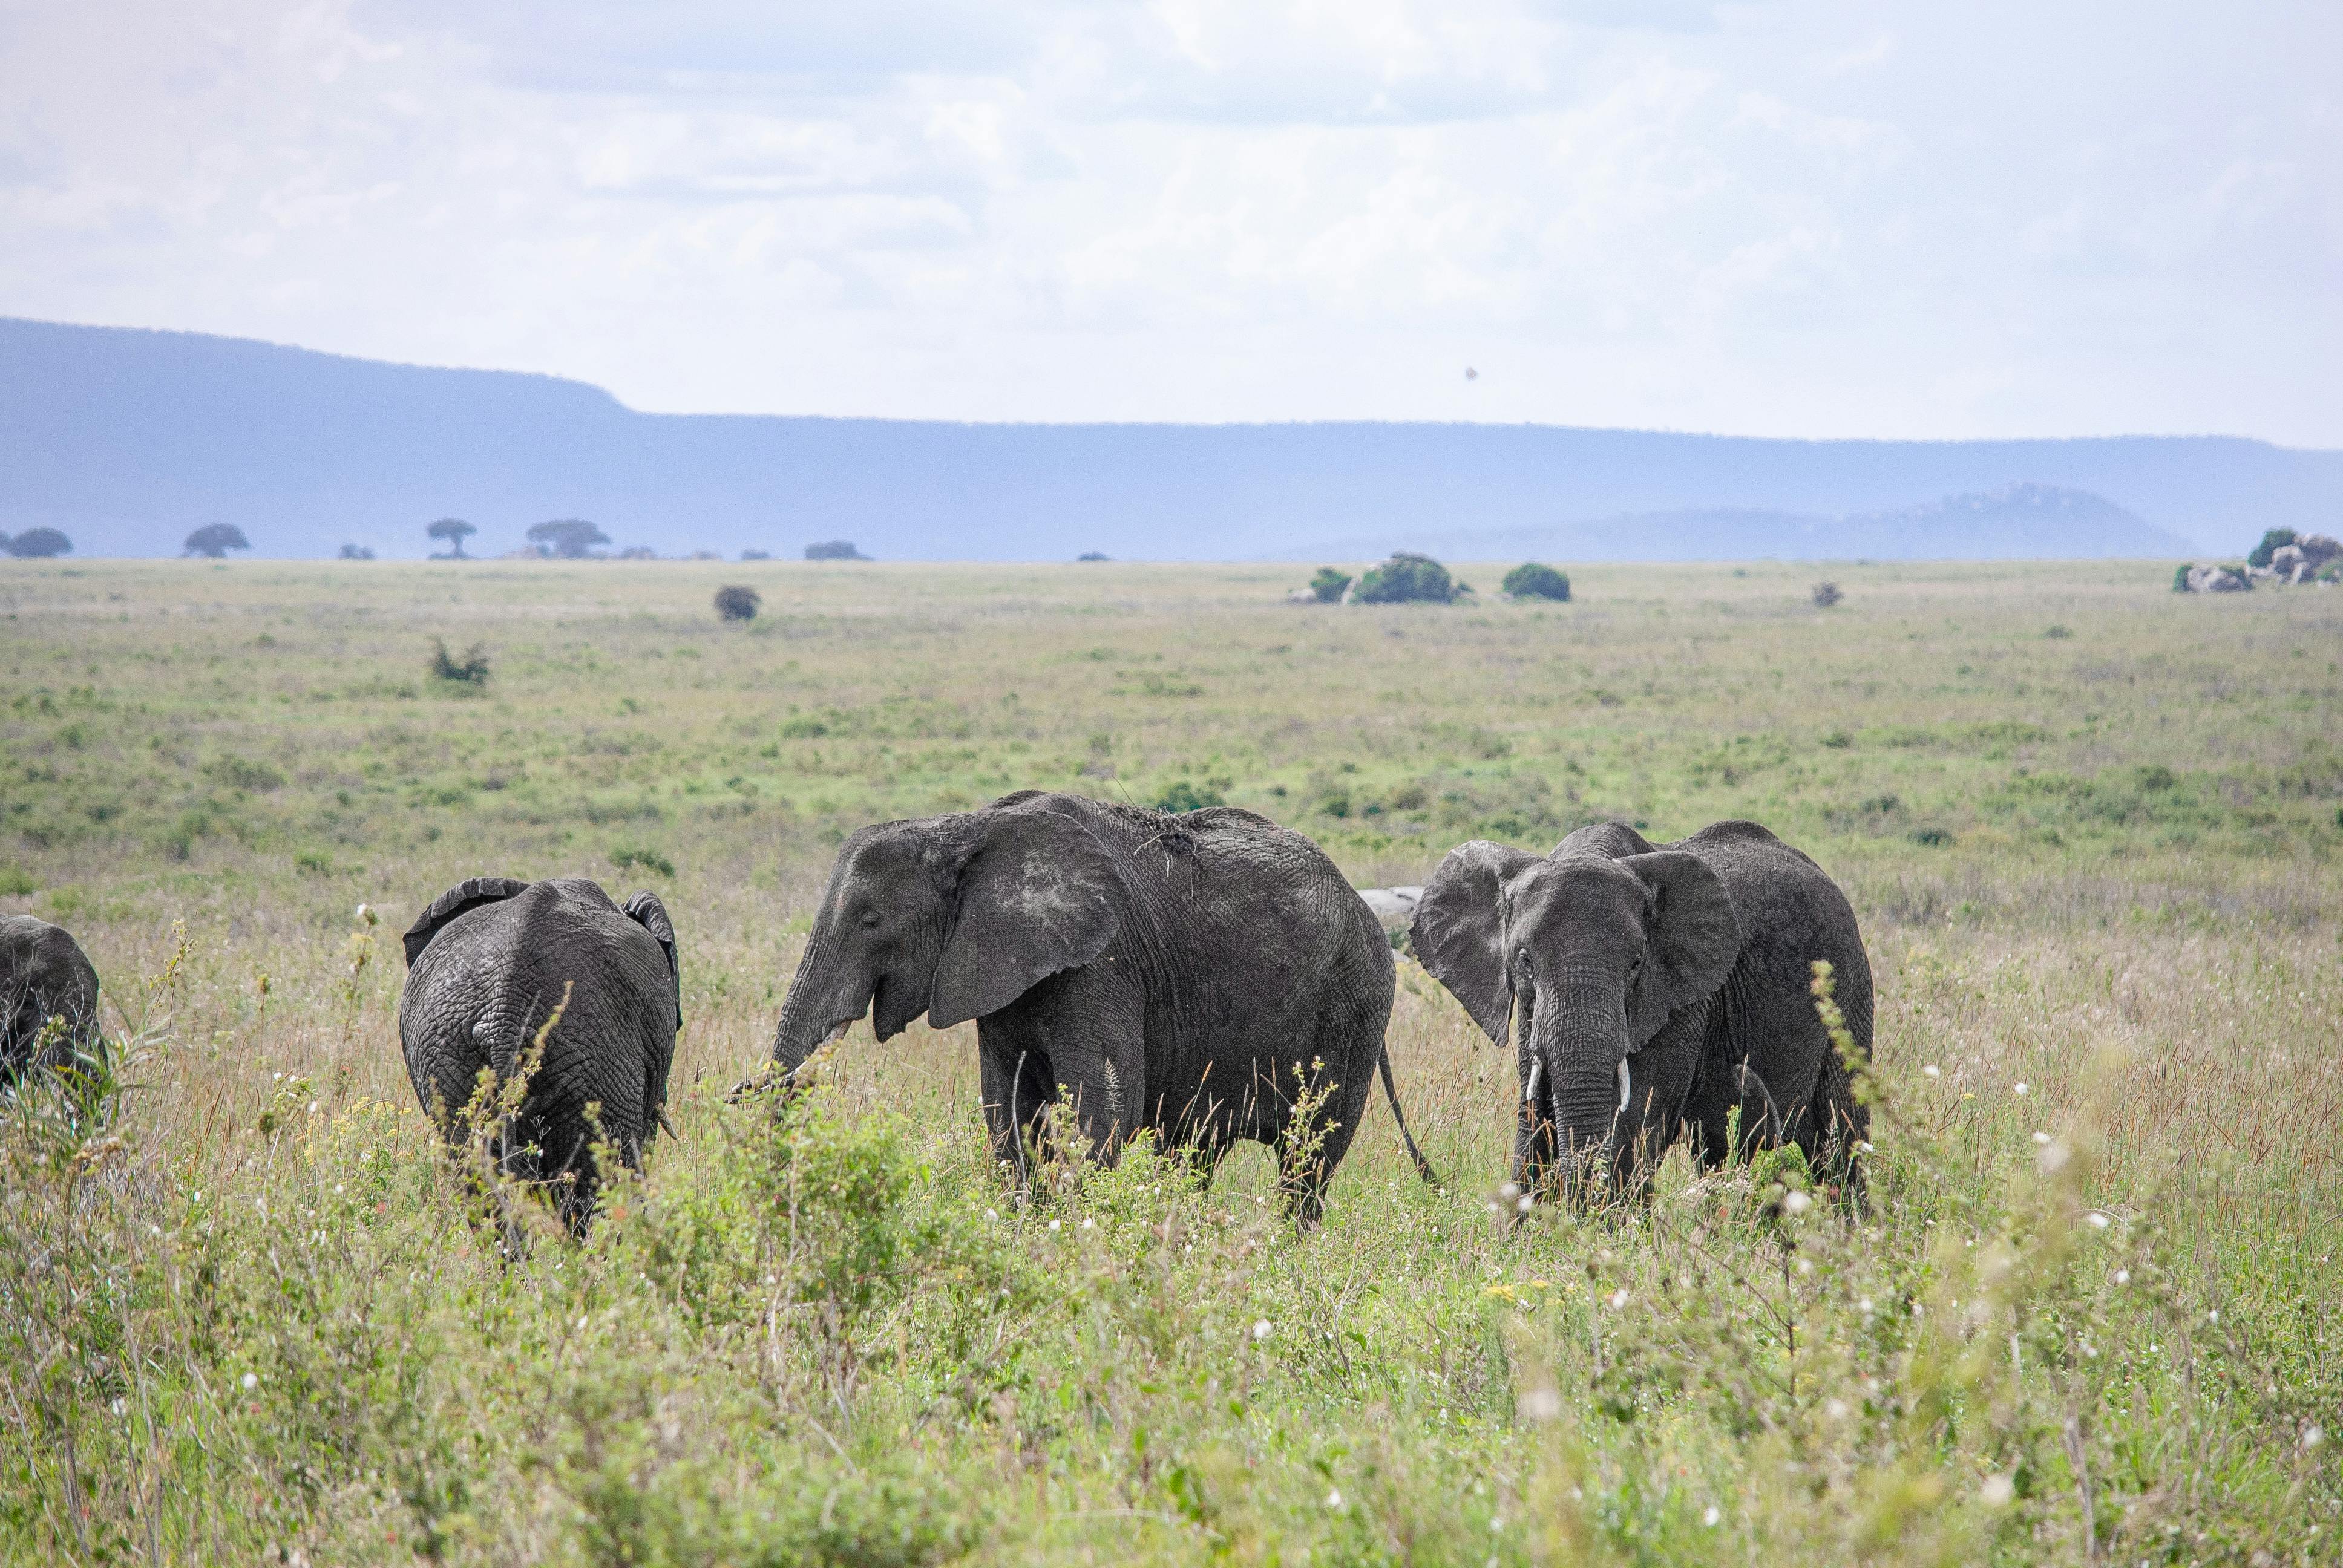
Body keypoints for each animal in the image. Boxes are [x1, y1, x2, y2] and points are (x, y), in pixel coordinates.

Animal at [756, 790, 1437, 1223]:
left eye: (871, 921)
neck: (961, 829)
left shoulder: (1102, 964)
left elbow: (1101, 1112)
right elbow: (1009, 1114)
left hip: (1355, 1004)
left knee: (1308, 1156)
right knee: (1195, 1153)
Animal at [1410, 819, 1872, 1203]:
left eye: (1636, 964)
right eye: (1524, 961)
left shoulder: (1680, 1000)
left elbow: (1635, 1118)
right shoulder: (1527, 1011)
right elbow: (1533, 1115)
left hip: (1849, 991)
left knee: (1841, 1136)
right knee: (1718, 1150)